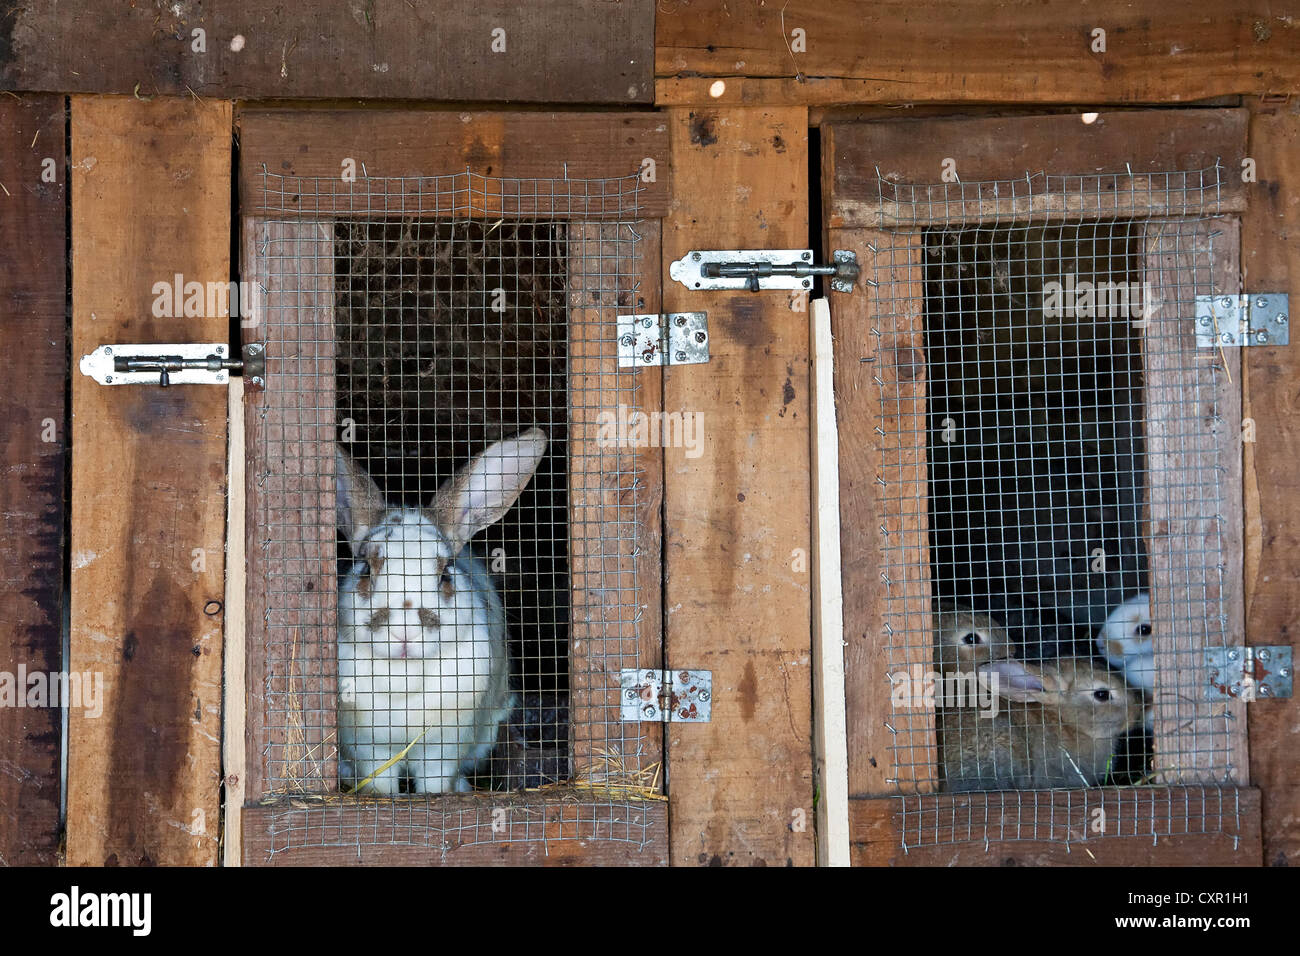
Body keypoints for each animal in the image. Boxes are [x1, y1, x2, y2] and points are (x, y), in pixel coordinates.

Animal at [335, 428, 548, 795]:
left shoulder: (442, 748)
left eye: (445, 573)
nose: (404, 631)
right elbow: (380, 782)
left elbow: (435, 783)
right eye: (366, 569)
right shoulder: (370, 749)